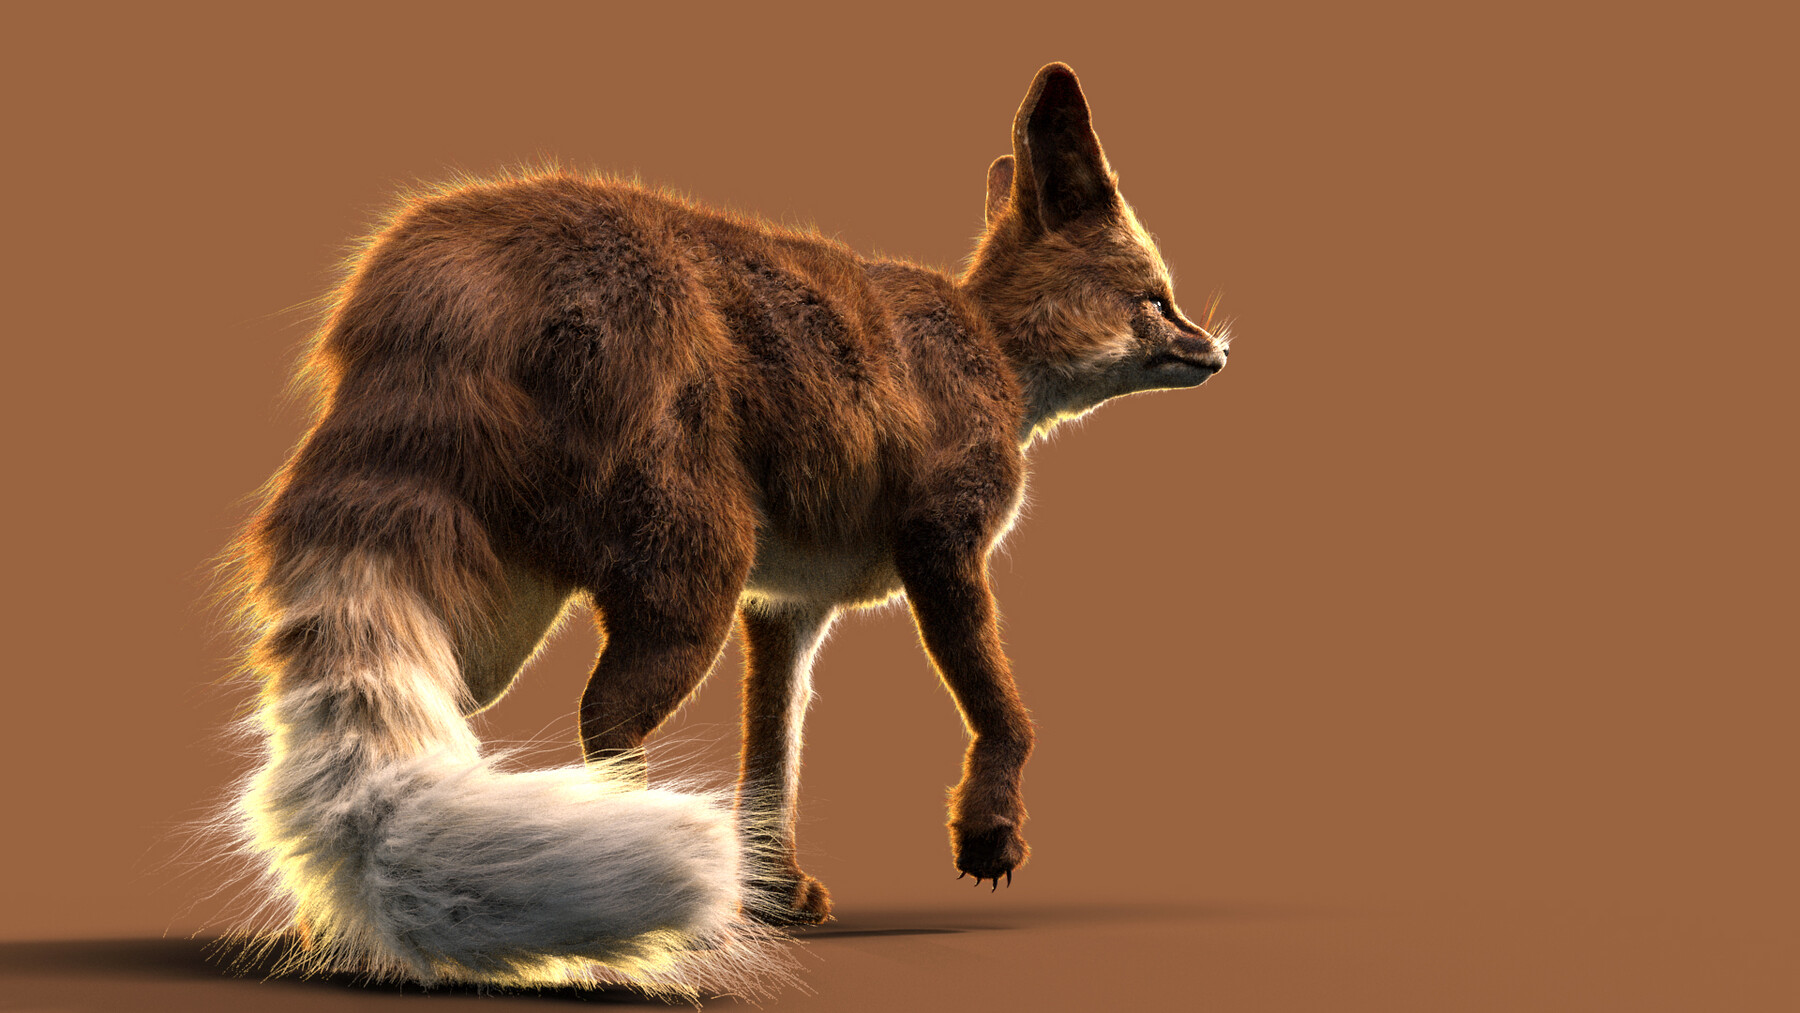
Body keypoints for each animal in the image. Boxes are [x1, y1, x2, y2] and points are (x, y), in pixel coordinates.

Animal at [220, 62, 1229, 996]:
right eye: (1156, 300)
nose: (1219, 351)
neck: (992, 351)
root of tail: (444, 266)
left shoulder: (785, 607)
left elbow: (772, 760)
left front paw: (776, 890)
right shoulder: (943, 551)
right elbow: (1006, 714)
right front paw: (988, 830)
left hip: (492, 620)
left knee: (397, 745)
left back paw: (348, 935)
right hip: (692, 575)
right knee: (602, 715)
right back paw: (648, 925)